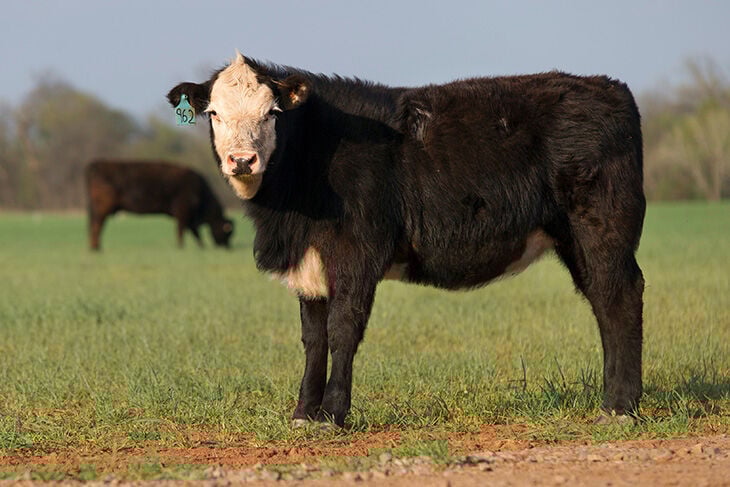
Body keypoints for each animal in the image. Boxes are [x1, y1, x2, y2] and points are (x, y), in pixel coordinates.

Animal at [85, 160, 234, 250]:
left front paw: (201, 247)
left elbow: (195, 233)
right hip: (101, 209)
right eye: (228, 233)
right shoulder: (183, 212)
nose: (227, 247)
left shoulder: (189, 217)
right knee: (97, 227)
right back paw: (96, 248)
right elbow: (182, 231)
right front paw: (181, 247)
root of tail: (95, 164)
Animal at [168, 52, 645, 427]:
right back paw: (616, 402)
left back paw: (620, 408)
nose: (242, 160)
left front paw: (332, 414)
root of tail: (608, 87)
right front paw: (303, 413)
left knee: (619, 298)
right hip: (574, 239)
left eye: (272, 113)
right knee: (603, 302)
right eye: (214, 113)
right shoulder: (310, 263)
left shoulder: (357, 253)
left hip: (601, 226)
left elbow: (342, 328)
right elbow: (314, 337)